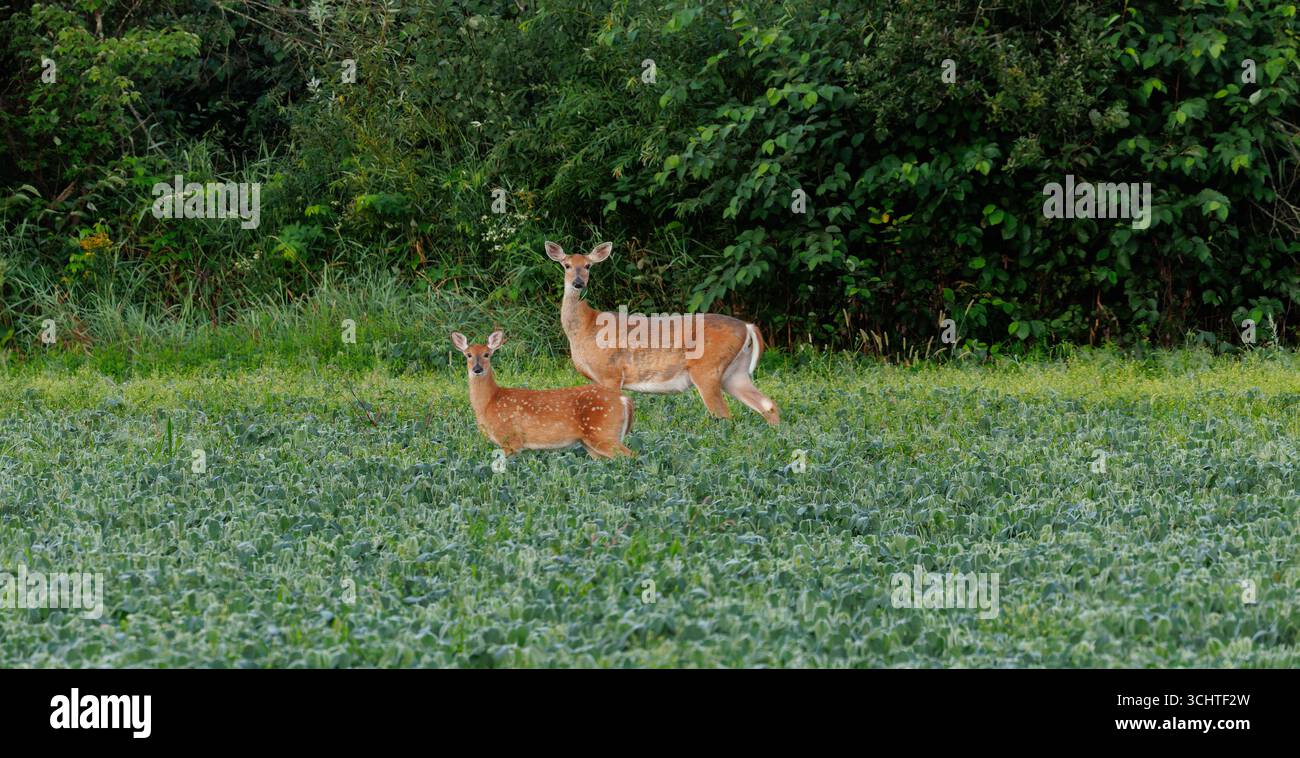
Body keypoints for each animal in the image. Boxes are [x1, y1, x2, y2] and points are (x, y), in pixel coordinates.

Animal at [451, 330, 635, 459]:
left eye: (487, 354)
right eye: (468, 355)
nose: (477, 369)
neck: (488, 402)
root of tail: (624, 399)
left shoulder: (511, 440)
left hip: (604, 433)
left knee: (631, 455)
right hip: (591, 443)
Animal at [544, 240, 779, 424]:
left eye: (588, 265)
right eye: (566, 265)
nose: (578, 283)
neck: (586, 327)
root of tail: (747, 326)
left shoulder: (610, 373)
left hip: (708, 369)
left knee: (725, 414)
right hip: (735, 373)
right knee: (768, 404)